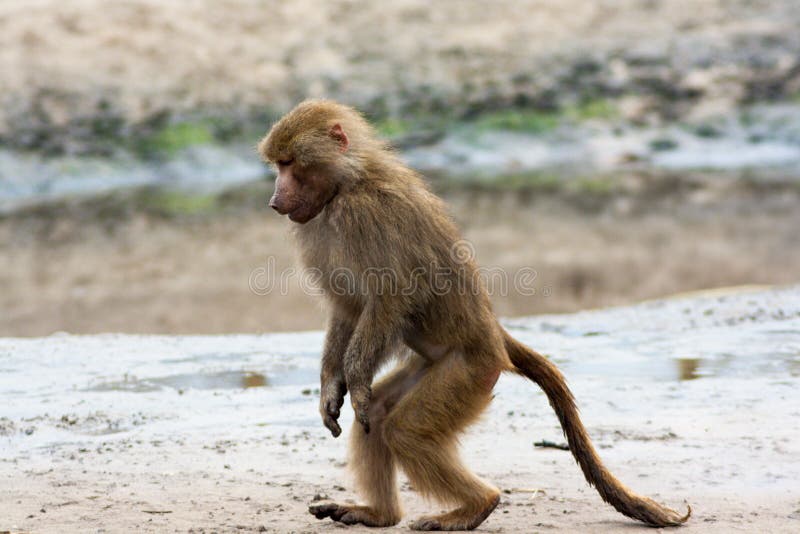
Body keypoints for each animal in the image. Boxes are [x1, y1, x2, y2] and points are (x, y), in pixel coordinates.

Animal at [258, 100, 691, 531]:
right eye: (278, 165)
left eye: (290, 163)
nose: (274, 202)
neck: (348, 184)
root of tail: (494, 335)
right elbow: (348, 308)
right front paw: (332, 389)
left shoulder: (364, 217)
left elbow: (389, 297)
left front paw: (357, 382)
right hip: (440, 367)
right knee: (382, 416)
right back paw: (379, 514)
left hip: (470, 372)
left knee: (405, 430)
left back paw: (477, 505)